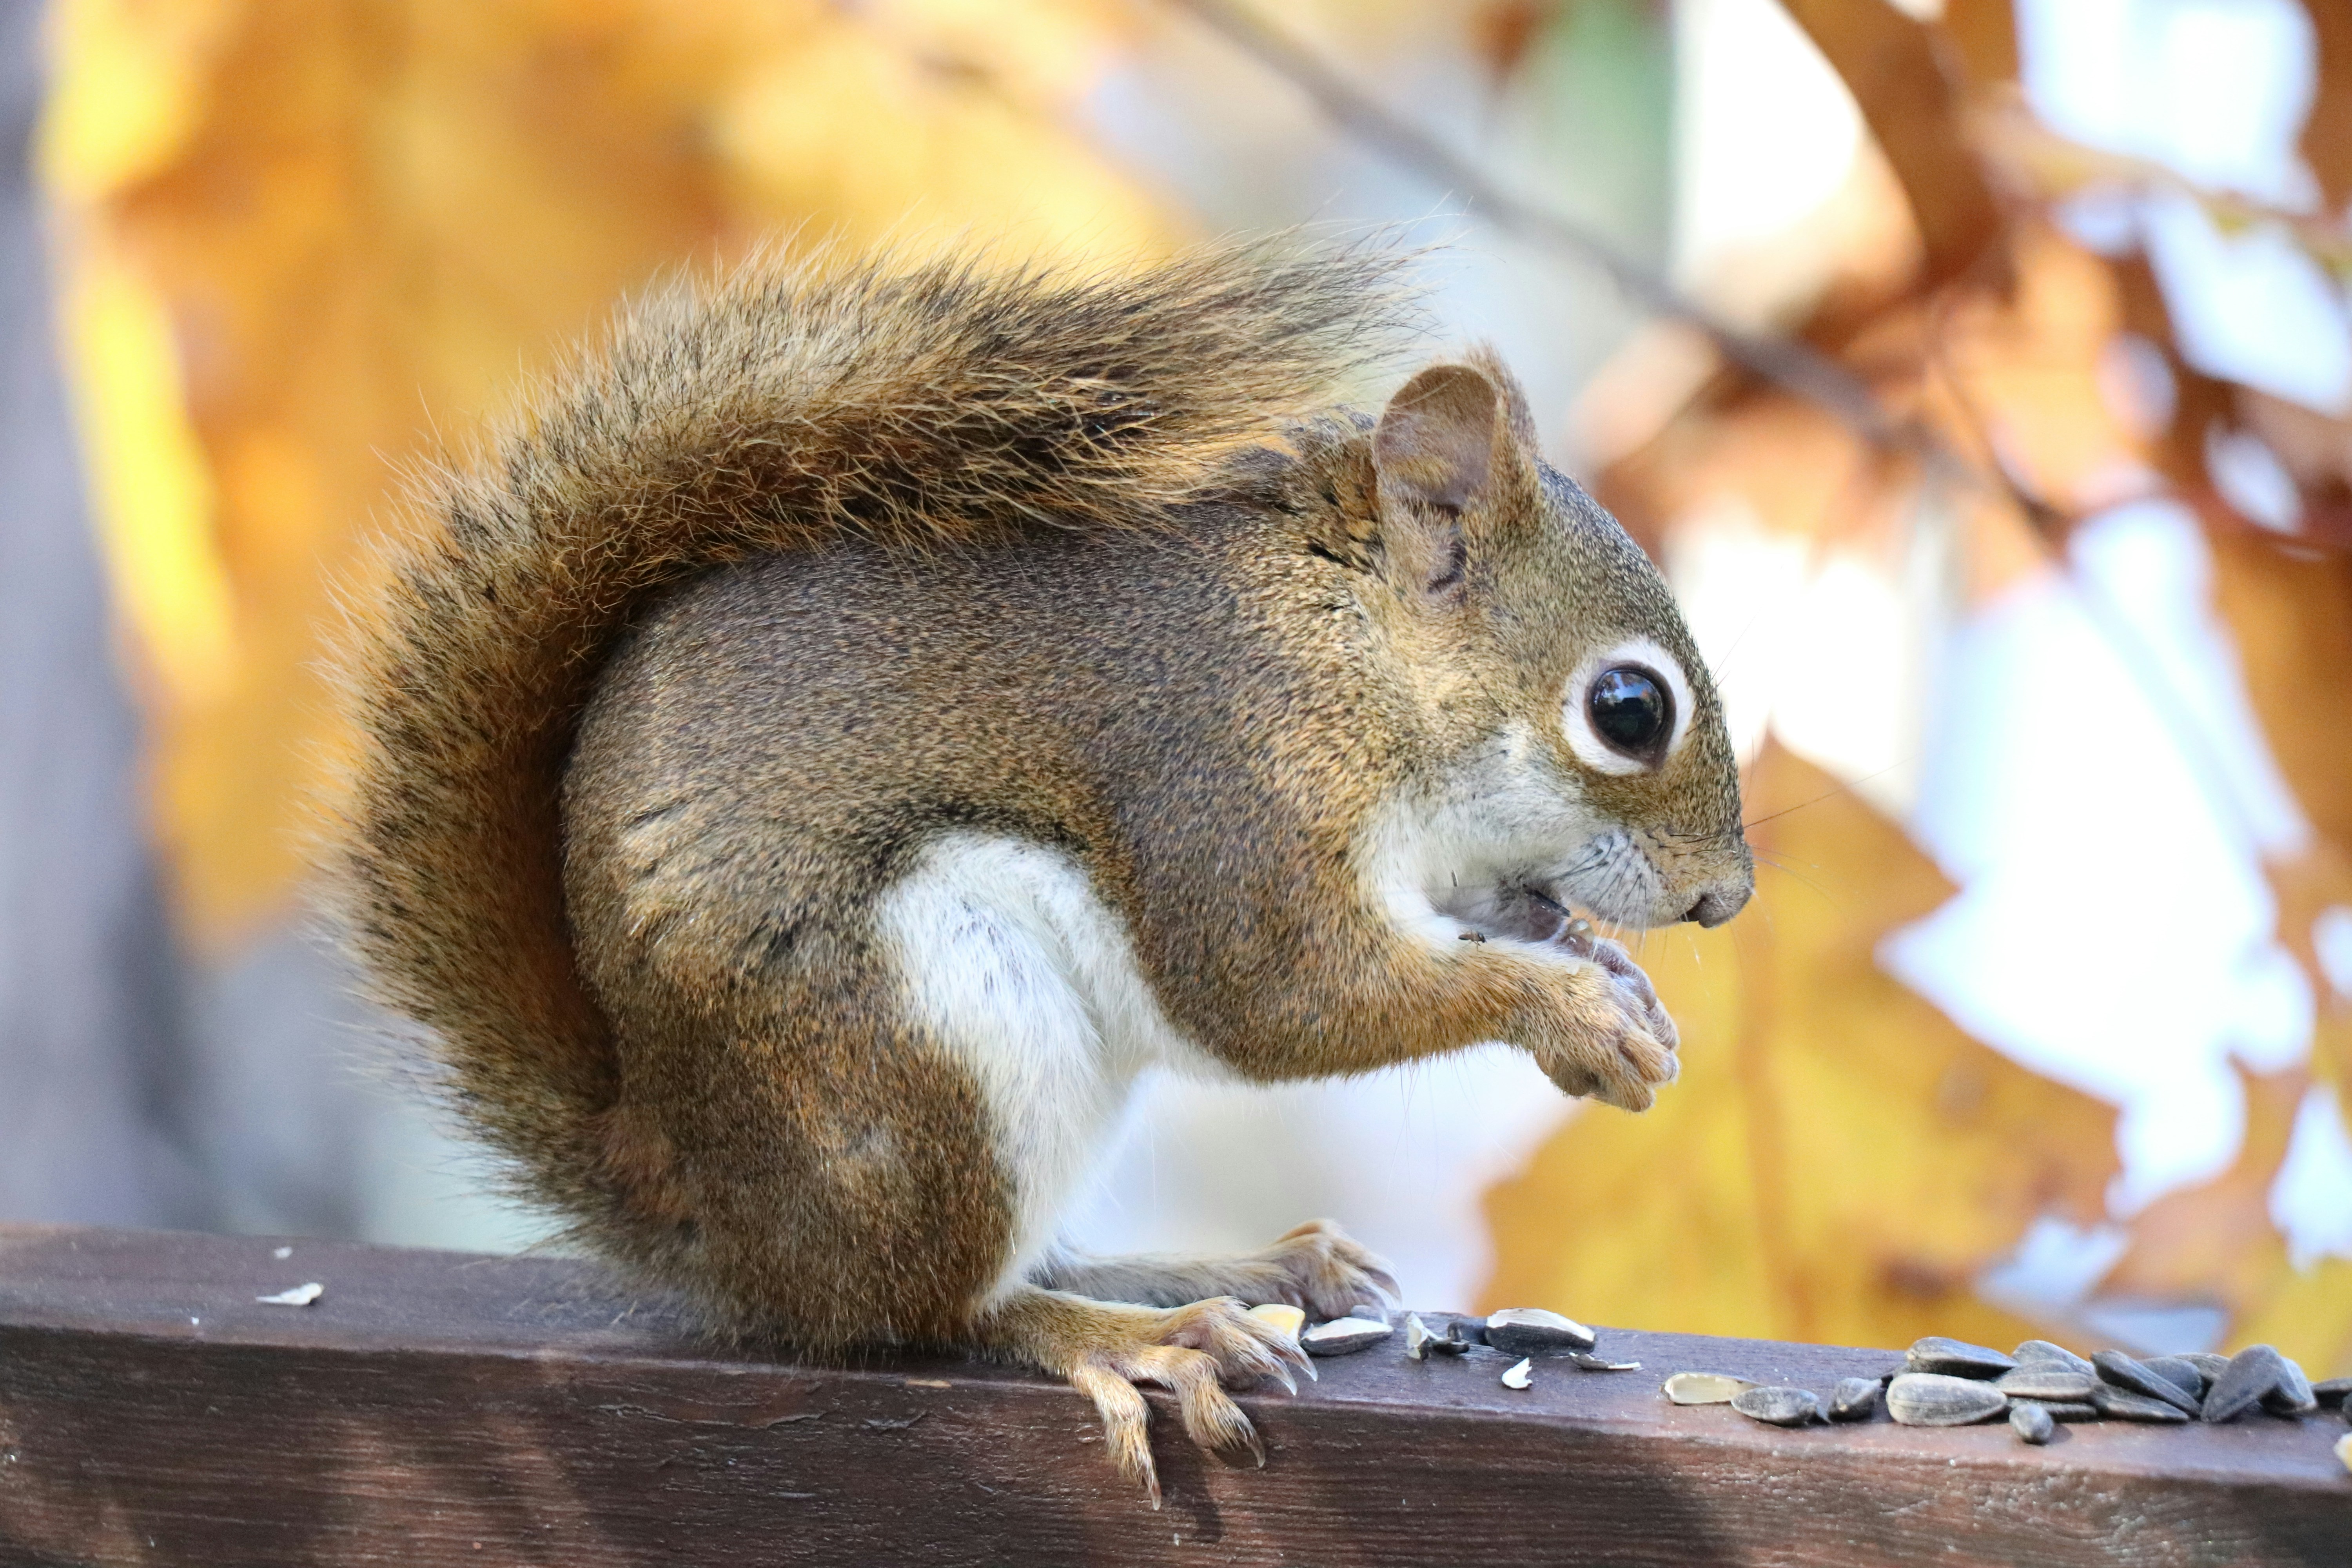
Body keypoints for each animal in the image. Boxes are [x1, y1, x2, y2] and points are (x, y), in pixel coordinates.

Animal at [325, 239, 1751, 1504]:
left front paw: (1607, 974)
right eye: (1629, 710)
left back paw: (1226, 1276)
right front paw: (1573, 1013)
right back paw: (1131, 1339)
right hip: (926, 1045)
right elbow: (1281, 1000)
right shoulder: (1229, 788)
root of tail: (706, 1203)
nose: (1726, 901)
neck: (1350, 652)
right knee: (930, 1314)